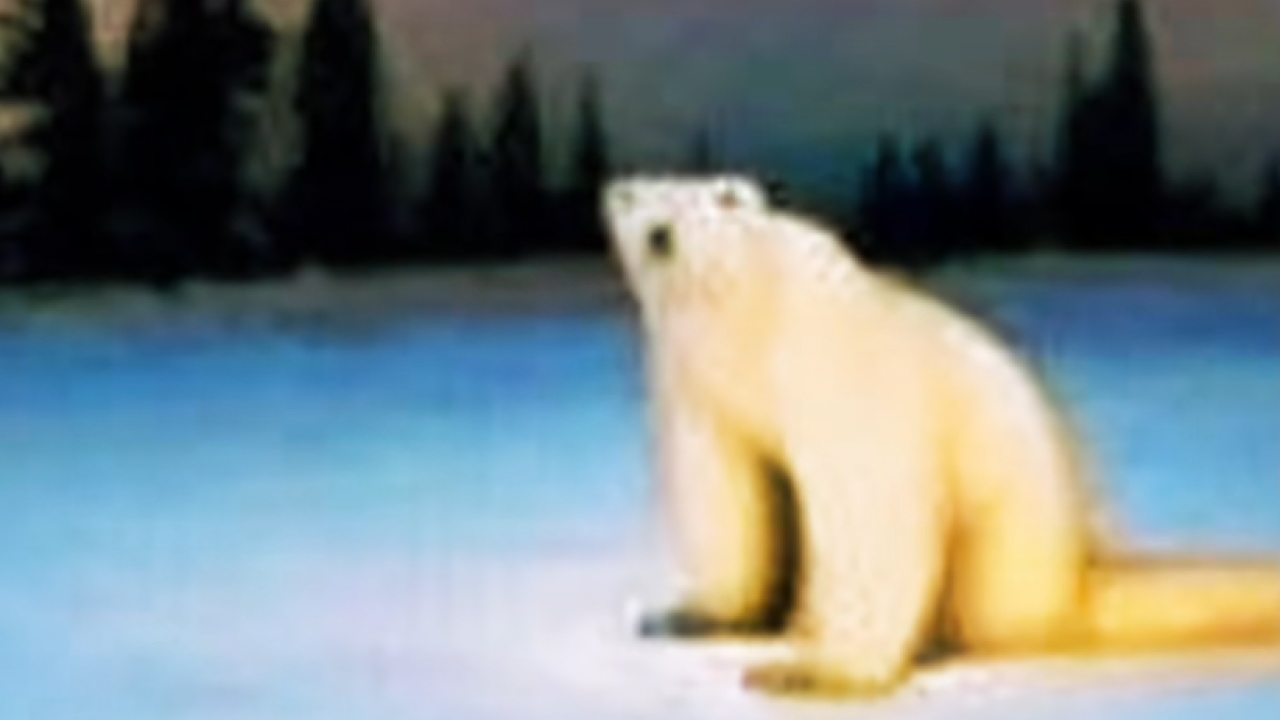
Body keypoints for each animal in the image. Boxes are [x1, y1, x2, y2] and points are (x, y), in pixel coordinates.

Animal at [602, 174, 1280, 699]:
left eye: (715, 200)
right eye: (640, 197)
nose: (660, 234)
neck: (740, 322)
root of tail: (1072, 580)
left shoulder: (829, 362)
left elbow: (870, 498)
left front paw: (814, 672)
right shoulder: (698, 385)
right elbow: (730, 488)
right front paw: (688, 615)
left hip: (997, 542)